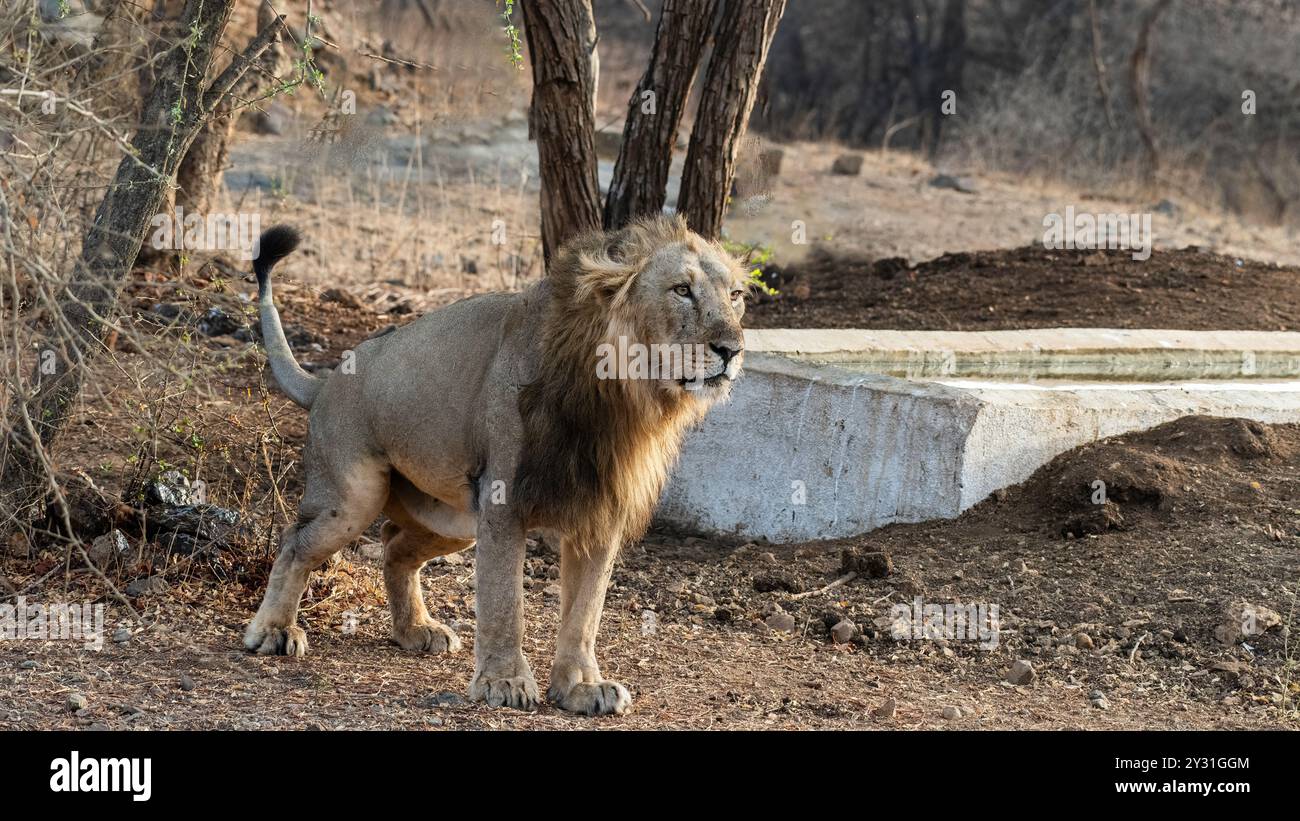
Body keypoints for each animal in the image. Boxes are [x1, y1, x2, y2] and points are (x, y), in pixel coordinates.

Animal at [243, 215, 748, 715]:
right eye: (681, 289)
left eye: (737, 295)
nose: (732, 349)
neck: (622, 396)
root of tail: (325, 382)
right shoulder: (504, 501)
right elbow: (505, 603)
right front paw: (503, 681)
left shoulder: (601, 511)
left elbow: (585, 613)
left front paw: (582, 687)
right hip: (354, 499)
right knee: (295, 542)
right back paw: (273, 631)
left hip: (454, 520)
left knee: (393, 546)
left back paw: (416, 629)